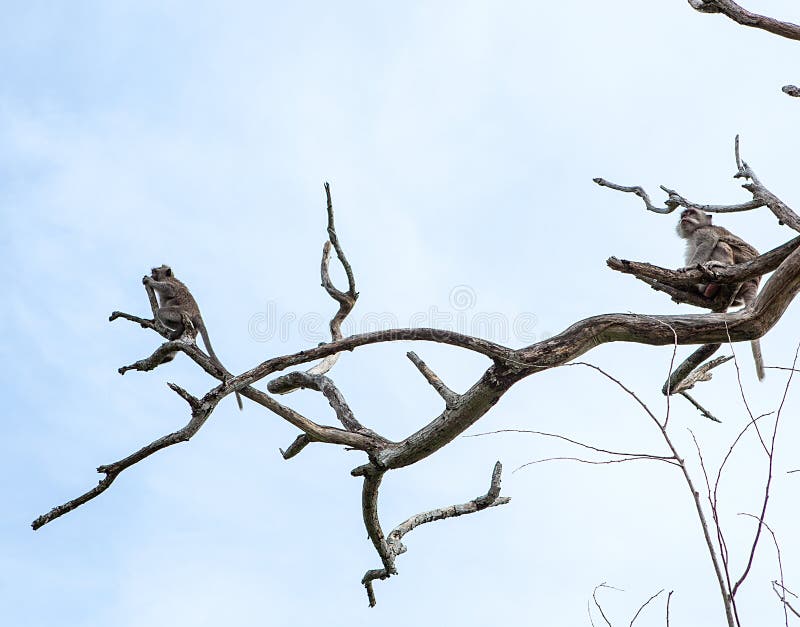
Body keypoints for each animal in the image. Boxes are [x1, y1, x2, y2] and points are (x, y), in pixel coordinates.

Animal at [143, 265, 244, 408]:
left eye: (155, 271)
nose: (152, 273)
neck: (169, 277)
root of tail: (197, 315)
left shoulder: (172, 284)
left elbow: (169, 290)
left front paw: (149, 281)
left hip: (180, 313)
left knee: (162, 312)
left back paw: (178, 329)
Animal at [676, 208, 764, 380]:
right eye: (683, 214)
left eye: (691, 212)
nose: (684, 217)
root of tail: (754, 280)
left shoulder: (703, 232)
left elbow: (707, 244)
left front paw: (689, 269)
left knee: (721, 243)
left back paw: (719, 268)